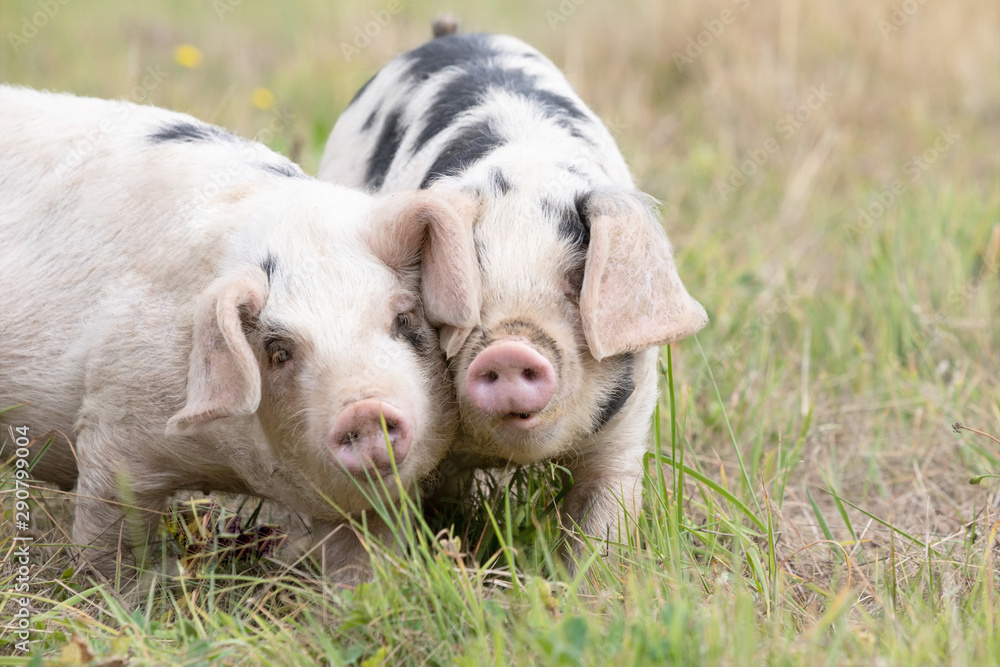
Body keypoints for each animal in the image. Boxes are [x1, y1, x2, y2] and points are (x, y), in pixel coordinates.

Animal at [0, 85, 479, 585]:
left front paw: (361, 591)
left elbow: (363, 551)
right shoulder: (111, 425)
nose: (364, 411)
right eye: (279, 350)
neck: (228, 466)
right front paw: (120, 592)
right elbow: (111, 528)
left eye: (403, 319)